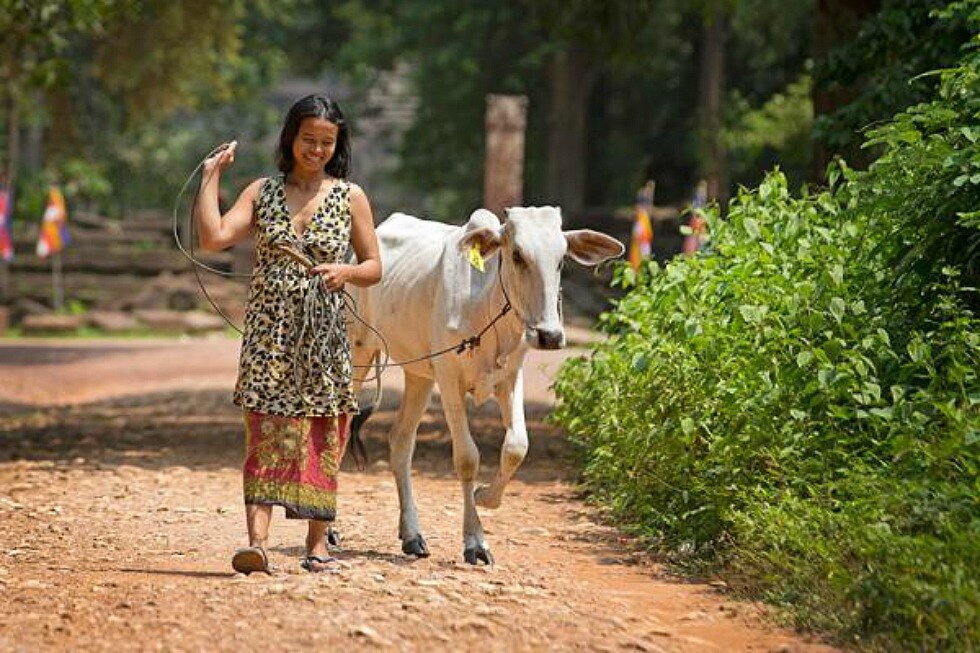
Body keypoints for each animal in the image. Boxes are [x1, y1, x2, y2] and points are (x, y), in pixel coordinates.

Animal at [348, 206, 624, 564]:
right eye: (517, 255)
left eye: (562, 259)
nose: (549, 335)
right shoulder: (449, 378)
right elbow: (467, 458)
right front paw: (475, 542)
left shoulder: (510, 377)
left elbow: (517, 447)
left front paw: (483, 497)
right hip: (357, 352)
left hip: (419, 375)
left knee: (400, 442)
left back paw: (412, 536)